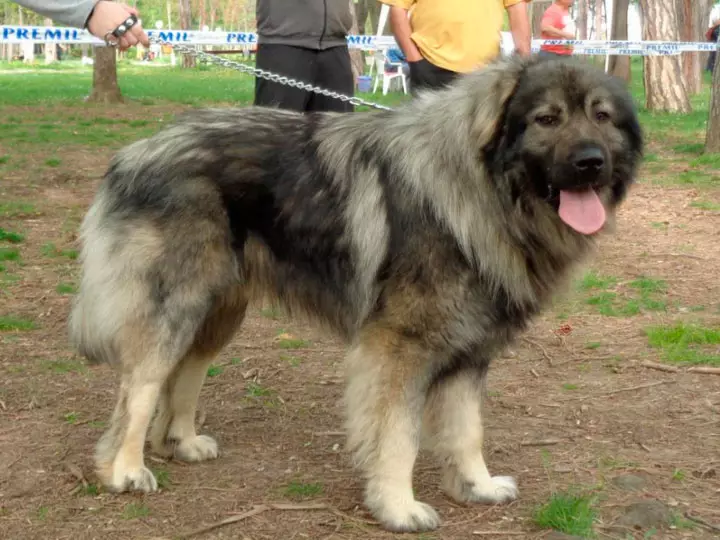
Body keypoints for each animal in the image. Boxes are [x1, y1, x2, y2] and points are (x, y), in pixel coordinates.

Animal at [69, 54, 640, 532]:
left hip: (220, 308)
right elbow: (399, 436)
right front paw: (398, 506)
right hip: (177, 303)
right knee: (141, 385)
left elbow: (467, 429)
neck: (479, 191)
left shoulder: (469, 350)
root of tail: (134, 154)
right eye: (546, 119)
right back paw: (124, 469)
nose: (591, 161)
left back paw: (181, 442)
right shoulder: (399, 348)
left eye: (602, 117)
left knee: (185, 371)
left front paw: (475, 486)